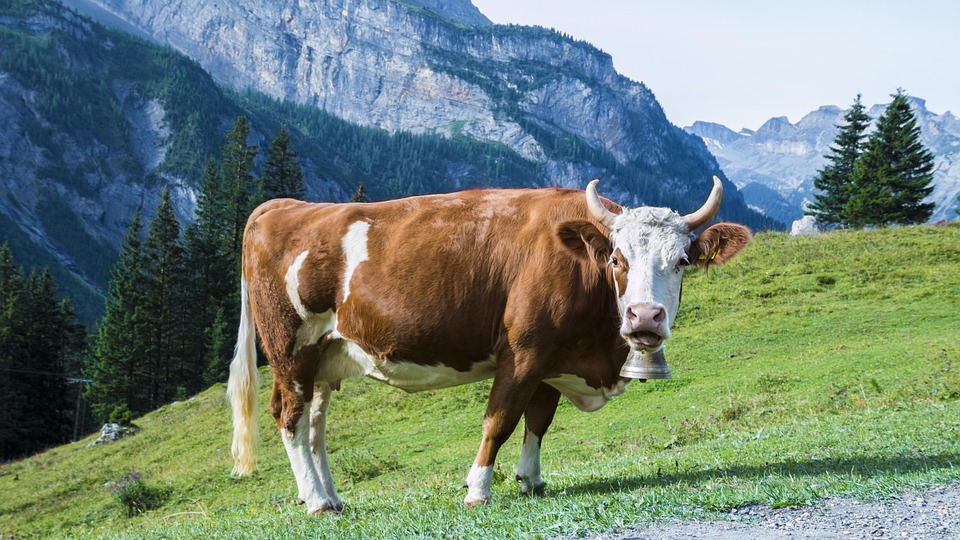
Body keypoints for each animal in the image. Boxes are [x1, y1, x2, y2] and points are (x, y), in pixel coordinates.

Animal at [227, 176, 750, 513]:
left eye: (682, 260)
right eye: (617, 259)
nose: (645, 316)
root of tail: (282, 206)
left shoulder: (552, 360)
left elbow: (538, 422)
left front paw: (532, 481)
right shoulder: (523, 352)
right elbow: (499, 421)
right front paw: (477, 489)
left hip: (326, 356)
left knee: (315, 426)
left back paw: (331, 497)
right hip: (291, 348)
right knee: (289, 417)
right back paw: (316, 501)